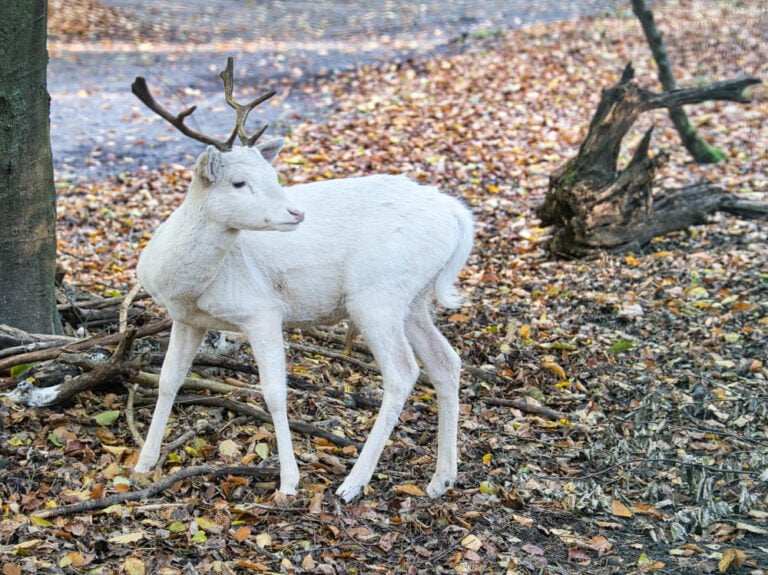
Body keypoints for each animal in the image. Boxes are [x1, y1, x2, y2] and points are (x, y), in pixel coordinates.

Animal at [130, 58, 474, 502]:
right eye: (239, 182)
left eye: (273, 175)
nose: (295, 213)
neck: (188, 284)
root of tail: (457, 215)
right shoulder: (186, 319)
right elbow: (167, 381)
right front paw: (143, 463)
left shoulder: (262, 310)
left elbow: (275, 393)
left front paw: (289, 482)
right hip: (414, 299)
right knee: (446, 362)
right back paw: (441, 478)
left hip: (377, 294)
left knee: (402, 372)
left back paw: (353, 483)